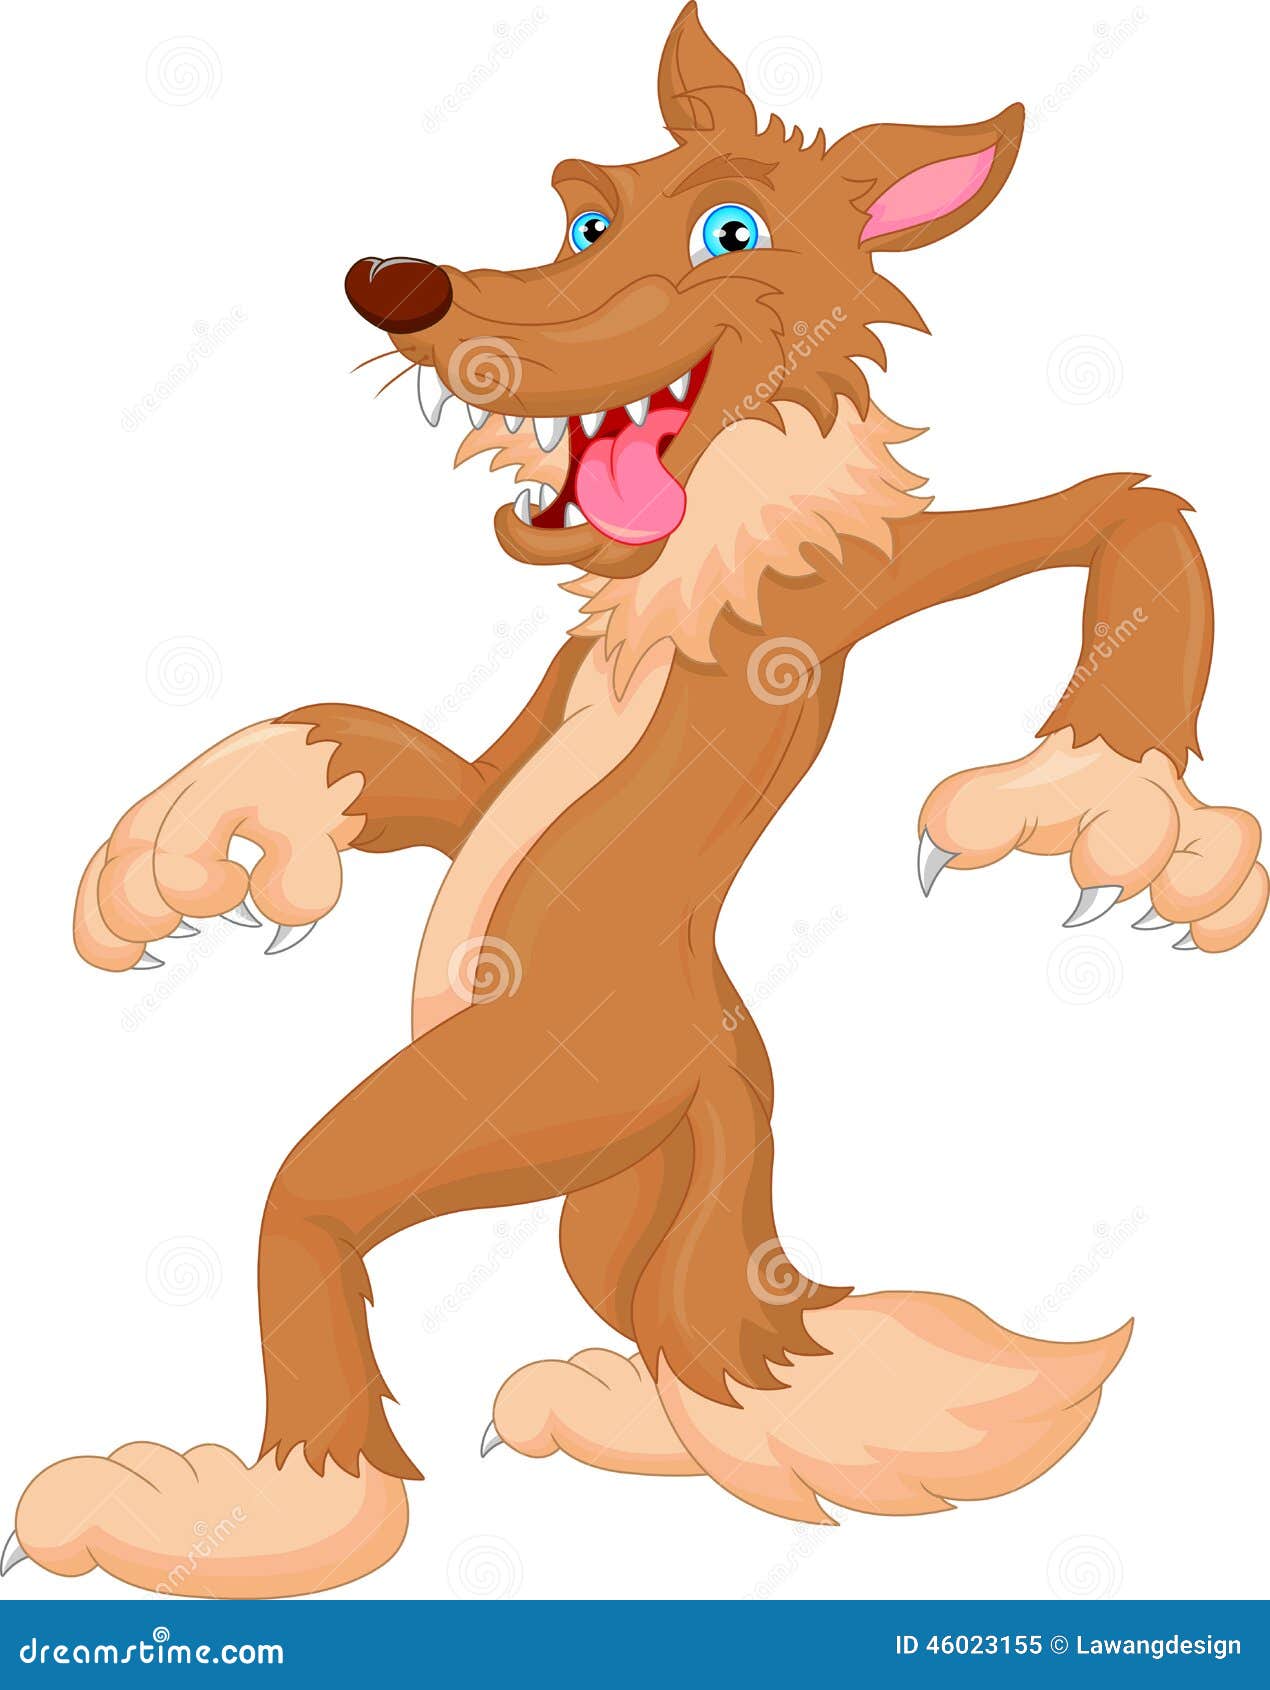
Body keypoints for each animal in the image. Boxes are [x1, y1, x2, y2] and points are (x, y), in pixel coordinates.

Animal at [6, 5, 1264, 1597]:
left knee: (326, 1216)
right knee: (694, 1322)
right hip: (626, 1199)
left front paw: (1101, 803)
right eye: (584, 216)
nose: (402, 285)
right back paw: (617, 1409)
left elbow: (1120, 508)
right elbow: (376, 749)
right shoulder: (518, 726)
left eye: (731, 233)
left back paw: (260, 1514)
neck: (678, 557)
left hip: (536, 1097)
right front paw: (185, 845)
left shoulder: (858, 581)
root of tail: (718, 1067)